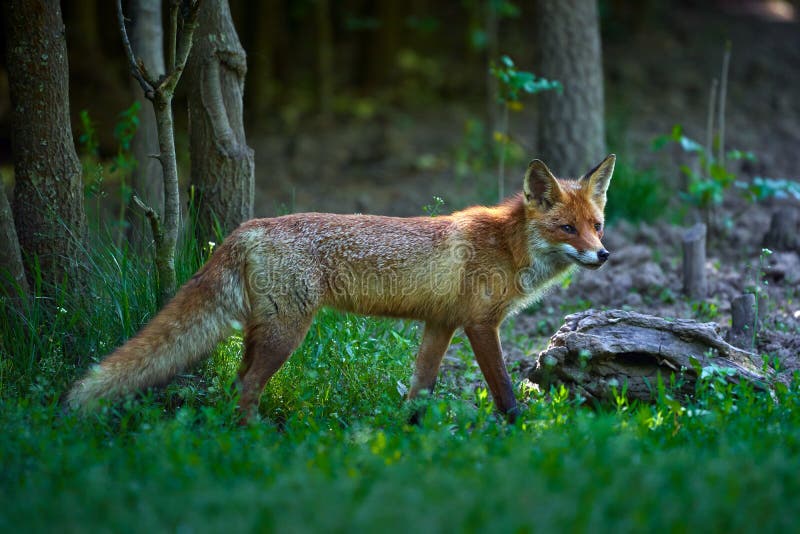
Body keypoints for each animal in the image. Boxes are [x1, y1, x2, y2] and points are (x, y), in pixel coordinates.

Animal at [67, 154, 616, 422]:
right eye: (567, 229)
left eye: (597, 225)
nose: (603, 256)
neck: (506, 246)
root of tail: (248, 227)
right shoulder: (481, 325)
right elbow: (503, 389)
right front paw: (520, 431)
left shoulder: (439, 324)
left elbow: (420, 388)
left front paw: (410, 433)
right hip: (287, 333)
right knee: (246, 388)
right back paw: (253, 443)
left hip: (263, 331)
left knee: (236, 383)